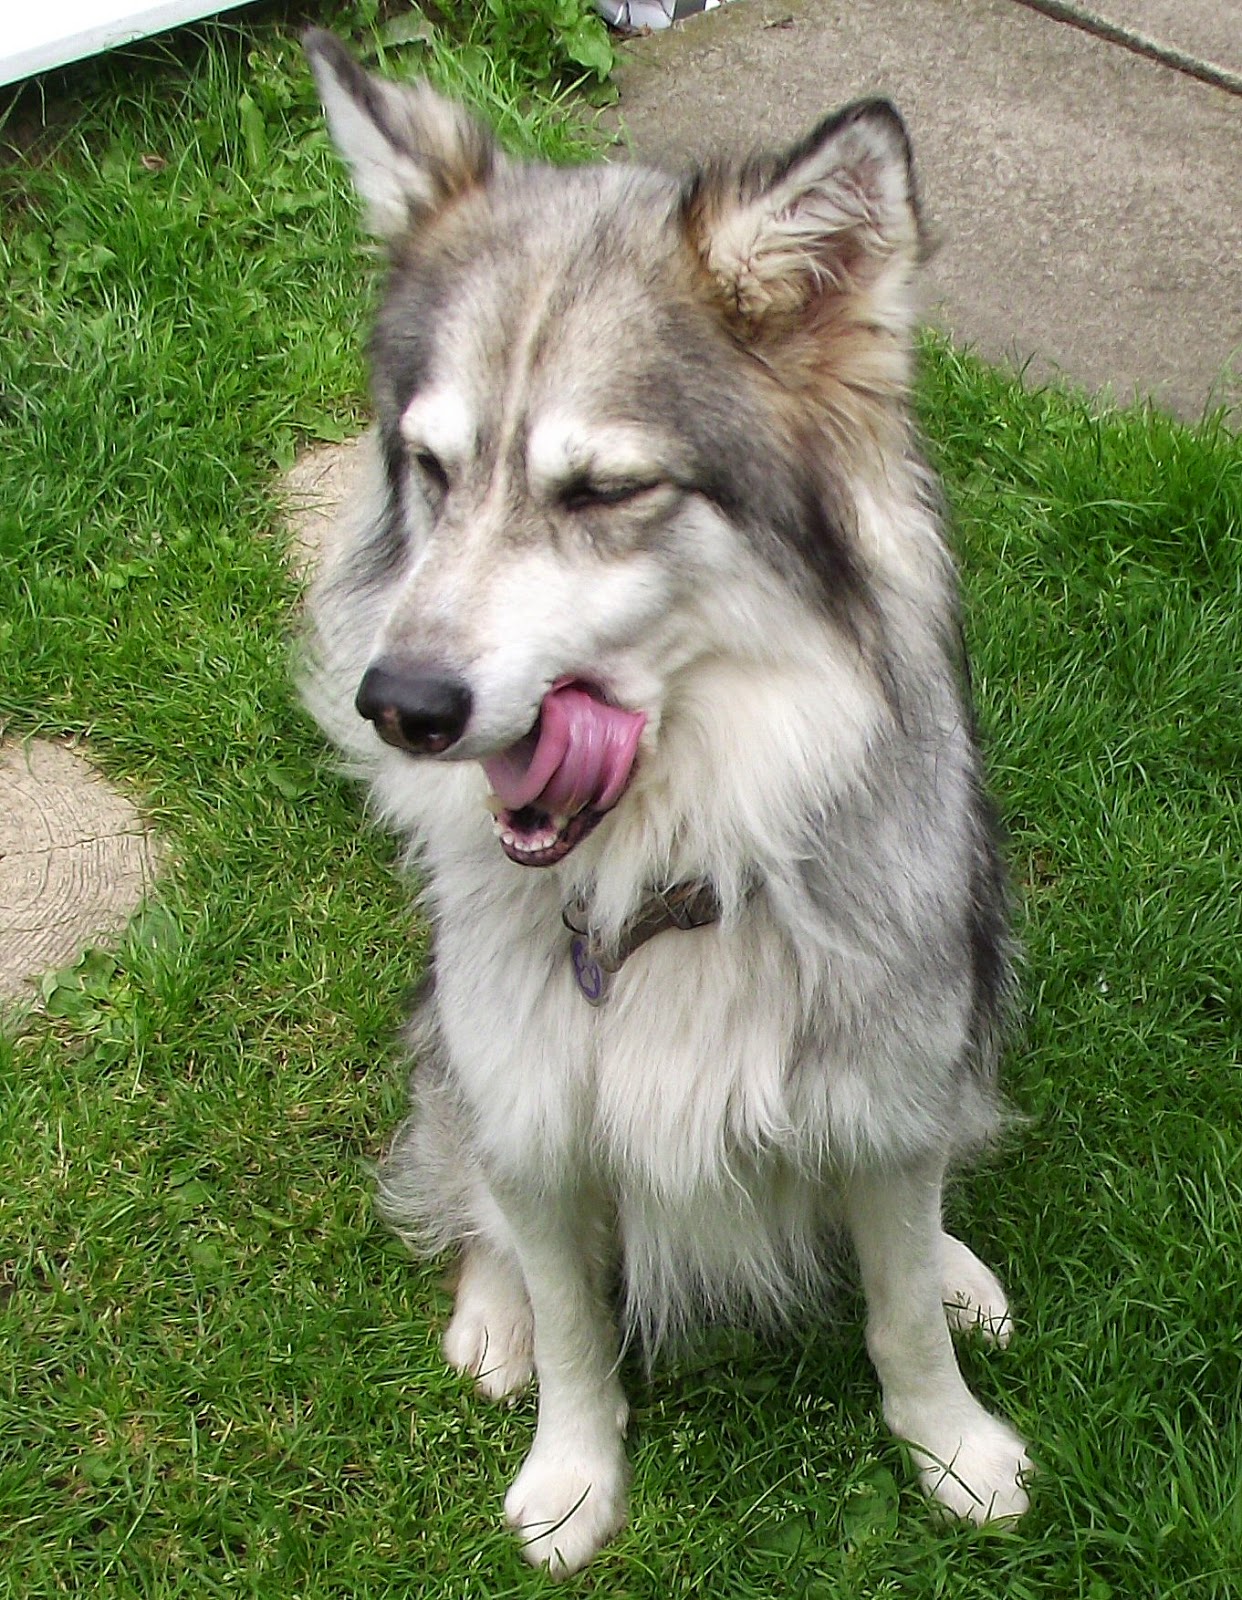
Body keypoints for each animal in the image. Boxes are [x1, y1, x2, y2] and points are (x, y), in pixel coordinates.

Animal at [301, 30, 1032, 1575]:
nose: (401, 703)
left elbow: (895, 1309)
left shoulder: (879, 1086)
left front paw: (954, 1448)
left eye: (601, 490)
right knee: (472, 1191)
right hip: (457, 1044)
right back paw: (491, 1312)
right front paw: (574, 1477)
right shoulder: (536, 1106)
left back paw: (955, 1265)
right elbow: (577, 1319)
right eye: (430, 468)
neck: (668, 874)